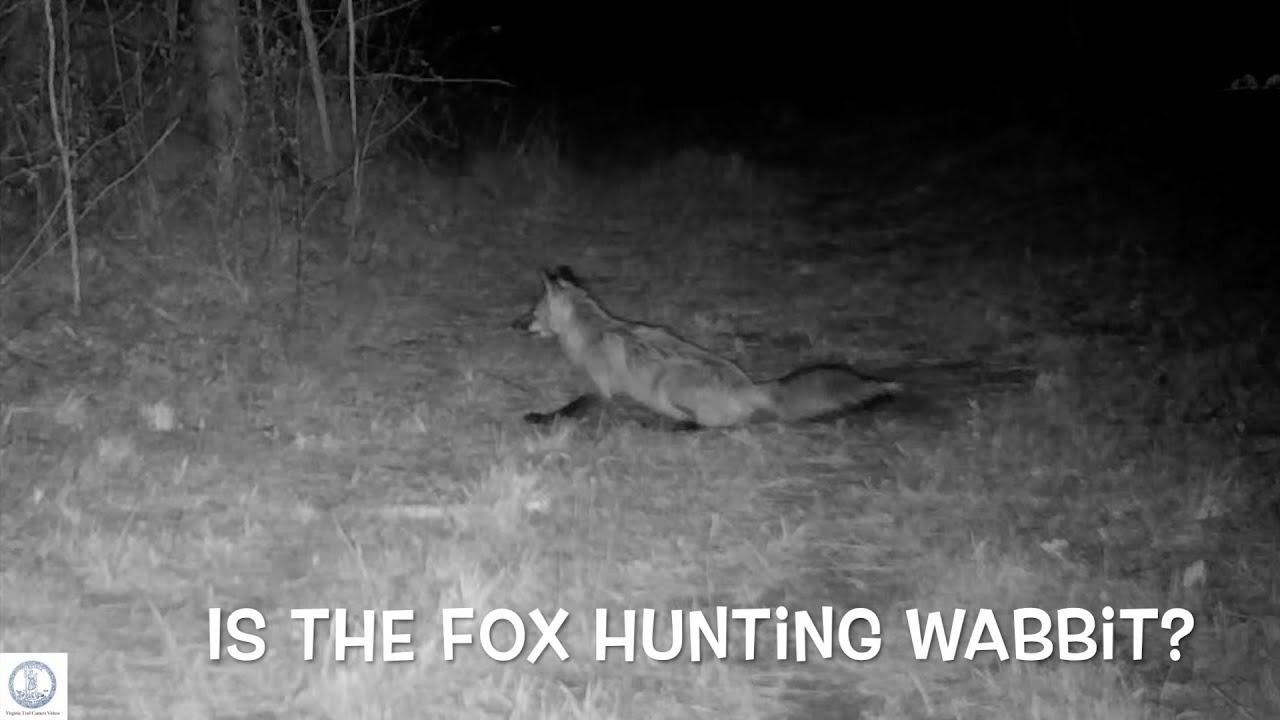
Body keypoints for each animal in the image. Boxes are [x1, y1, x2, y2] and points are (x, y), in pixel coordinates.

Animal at [511, 266, 902, 430]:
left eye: (531, 312)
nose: (511, 324)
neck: (593, 332)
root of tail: (752, 387)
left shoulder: (603, 390)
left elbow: (572, 406)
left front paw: (541, 417)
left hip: (669, 385)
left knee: (712, 425)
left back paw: (663, 424)